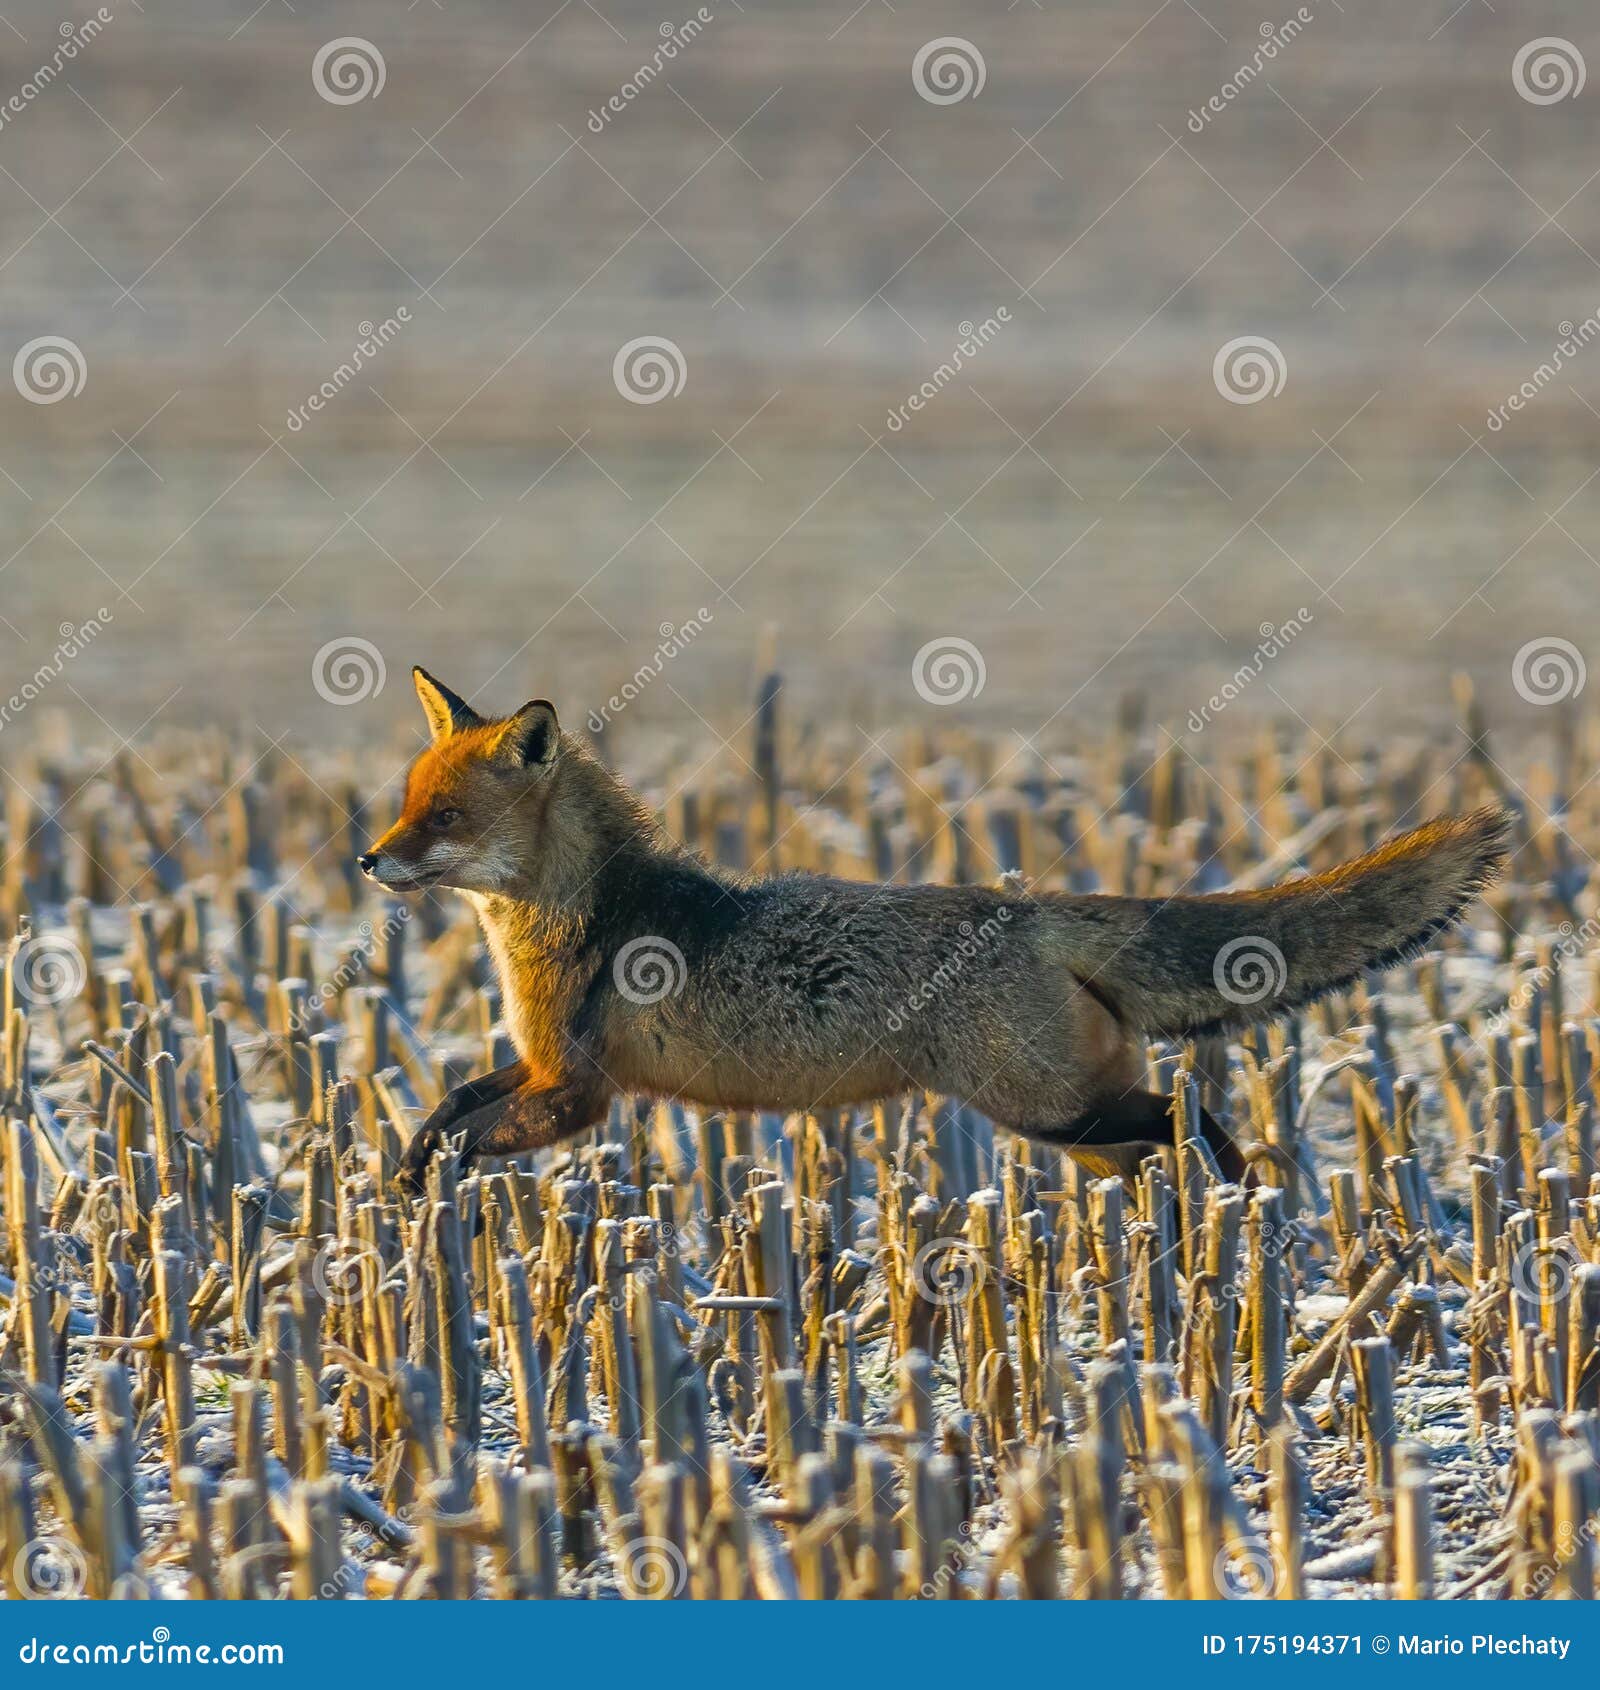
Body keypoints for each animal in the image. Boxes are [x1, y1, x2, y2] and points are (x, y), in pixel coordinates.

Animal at [360, 667, 1511, 1200]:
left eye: (444, 819)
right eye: (404, 805)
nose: (368, 860)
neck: (572, 923)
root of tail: (1029, 908)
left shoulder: (578, 1095)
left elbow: (469, 1132)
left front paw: (424, 1185)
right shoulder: (539, 1063)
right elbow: (449, 1102)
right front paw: (405, 1173)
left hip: (1050, 1111)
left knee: (1187, 1119)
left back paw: (1242, 1202)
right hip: (1076, 1127)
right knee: (1162, 1135)